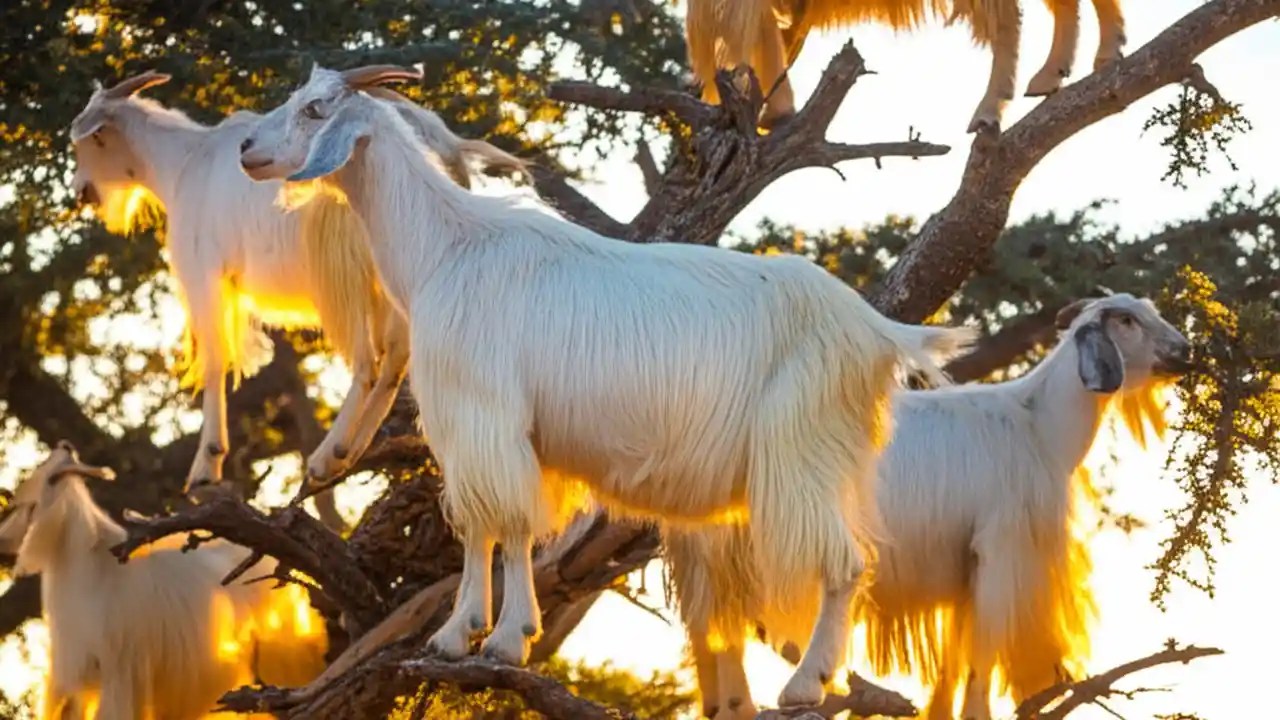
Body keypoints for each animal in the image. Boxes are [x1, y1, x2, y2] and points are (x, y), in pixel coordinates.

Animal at [68, 71, 524, 514]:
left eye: (83, 144)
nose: (79, 190)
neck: (183, 163)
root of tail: (441, 144)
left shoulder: (203, 273)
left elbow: (215, 362)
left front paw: (205, 468)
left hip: (348, 268)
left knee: (369, 360)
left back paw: (325, 457)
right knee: (395, 355)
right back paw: (349, 451)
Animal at [235, 61, 975, 710]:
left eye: (315, 109)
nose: (245, 147)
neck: (449, 247)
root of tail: (878, 331)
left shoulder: (481, 414)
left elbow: (496, 521)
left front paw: (488, 640)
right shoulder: (498, 432)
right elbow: (494, 528)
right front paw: (481, 632)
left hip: (800, 455)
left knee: (847, 564)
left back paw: (804, 687)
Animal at [665, 293, 1193, 719]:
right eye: (1126, 319)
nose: (1185, 351)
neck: (1038, 425)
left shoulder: (964, 570)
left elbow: (955, 660)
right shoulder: (999, 549)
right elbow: (983, 652)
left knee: (710, 633)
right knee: (726, 631)